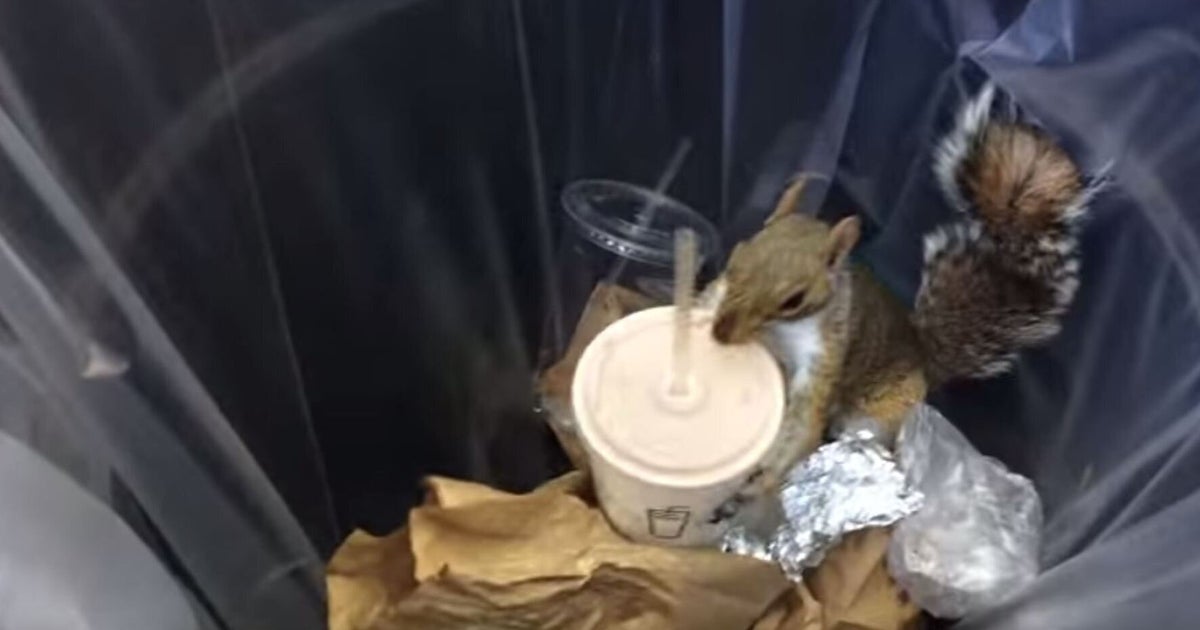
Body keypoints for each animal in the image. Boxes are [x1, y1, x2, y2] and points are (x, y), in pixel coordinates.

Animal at [705, 85, 1099, 522]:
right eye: (737, 255)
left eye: (794, 300)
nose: (720, 332)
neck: (778, 334)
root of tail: (923, 359)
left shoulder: (825, 356)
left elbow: (802, 424)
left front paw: (755, 485)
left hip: (881, 412)